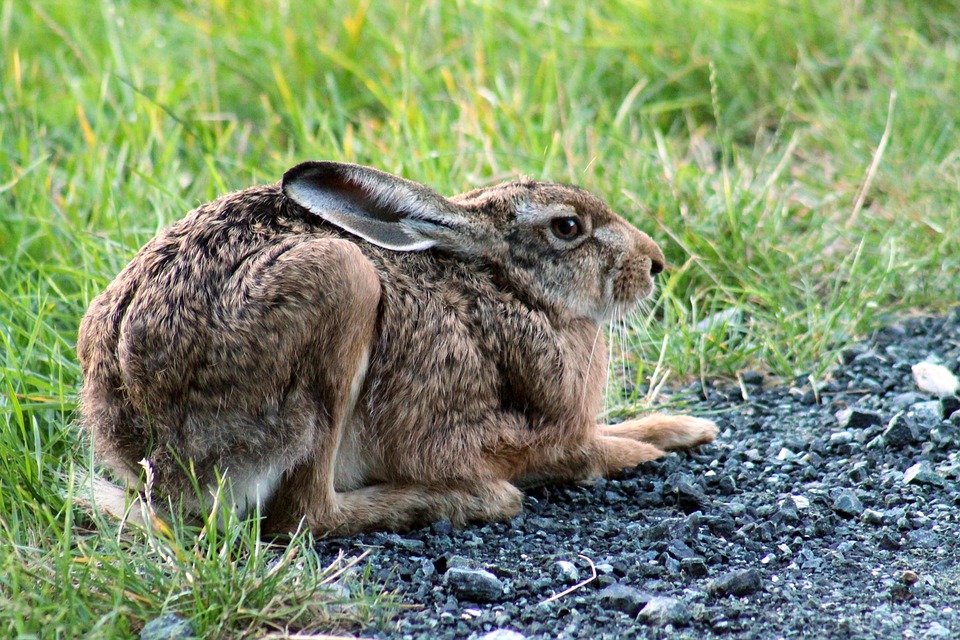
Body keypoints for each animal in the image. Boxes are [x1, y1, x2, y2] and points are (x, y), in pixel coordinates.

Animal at [77, 161, 718, 536]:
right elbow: (584, 451)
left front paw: (687, 428)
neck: (513, 289)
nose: (656, 263)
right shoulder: (516, 435)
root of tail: (142, 446)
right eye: (568, 228)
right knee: (306, 514)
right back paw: (464, 501)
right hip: (339, 289)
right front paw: (645, 452)